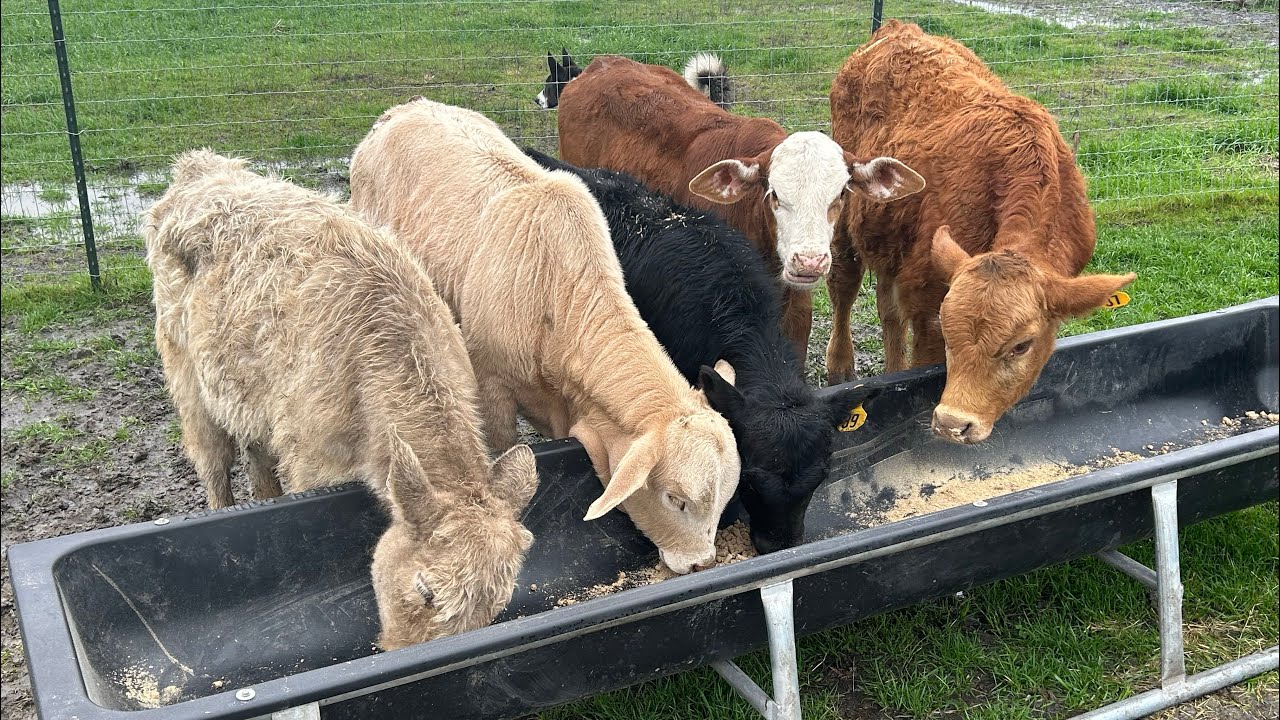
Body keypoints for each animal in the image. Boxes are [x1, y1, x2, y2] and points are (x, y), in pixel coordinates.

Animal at [145, 150, 538, 649]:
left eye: (495, 610)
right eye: (426, 590)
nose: (395, 650)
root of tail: (197, 166)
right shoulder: (310, 459)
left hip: (245, 387)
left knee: (253, 447)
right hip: (184, 368)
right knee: (212, 458)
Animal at [827, 20, 1136, 444]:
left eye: (1021, 346)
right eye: (951, 332)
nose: (952, 423)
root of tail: (897, 28)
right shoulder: (927, 299)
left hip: (891, 235)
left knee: (888, 311)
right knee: (844, 285)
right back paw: (840, 366)